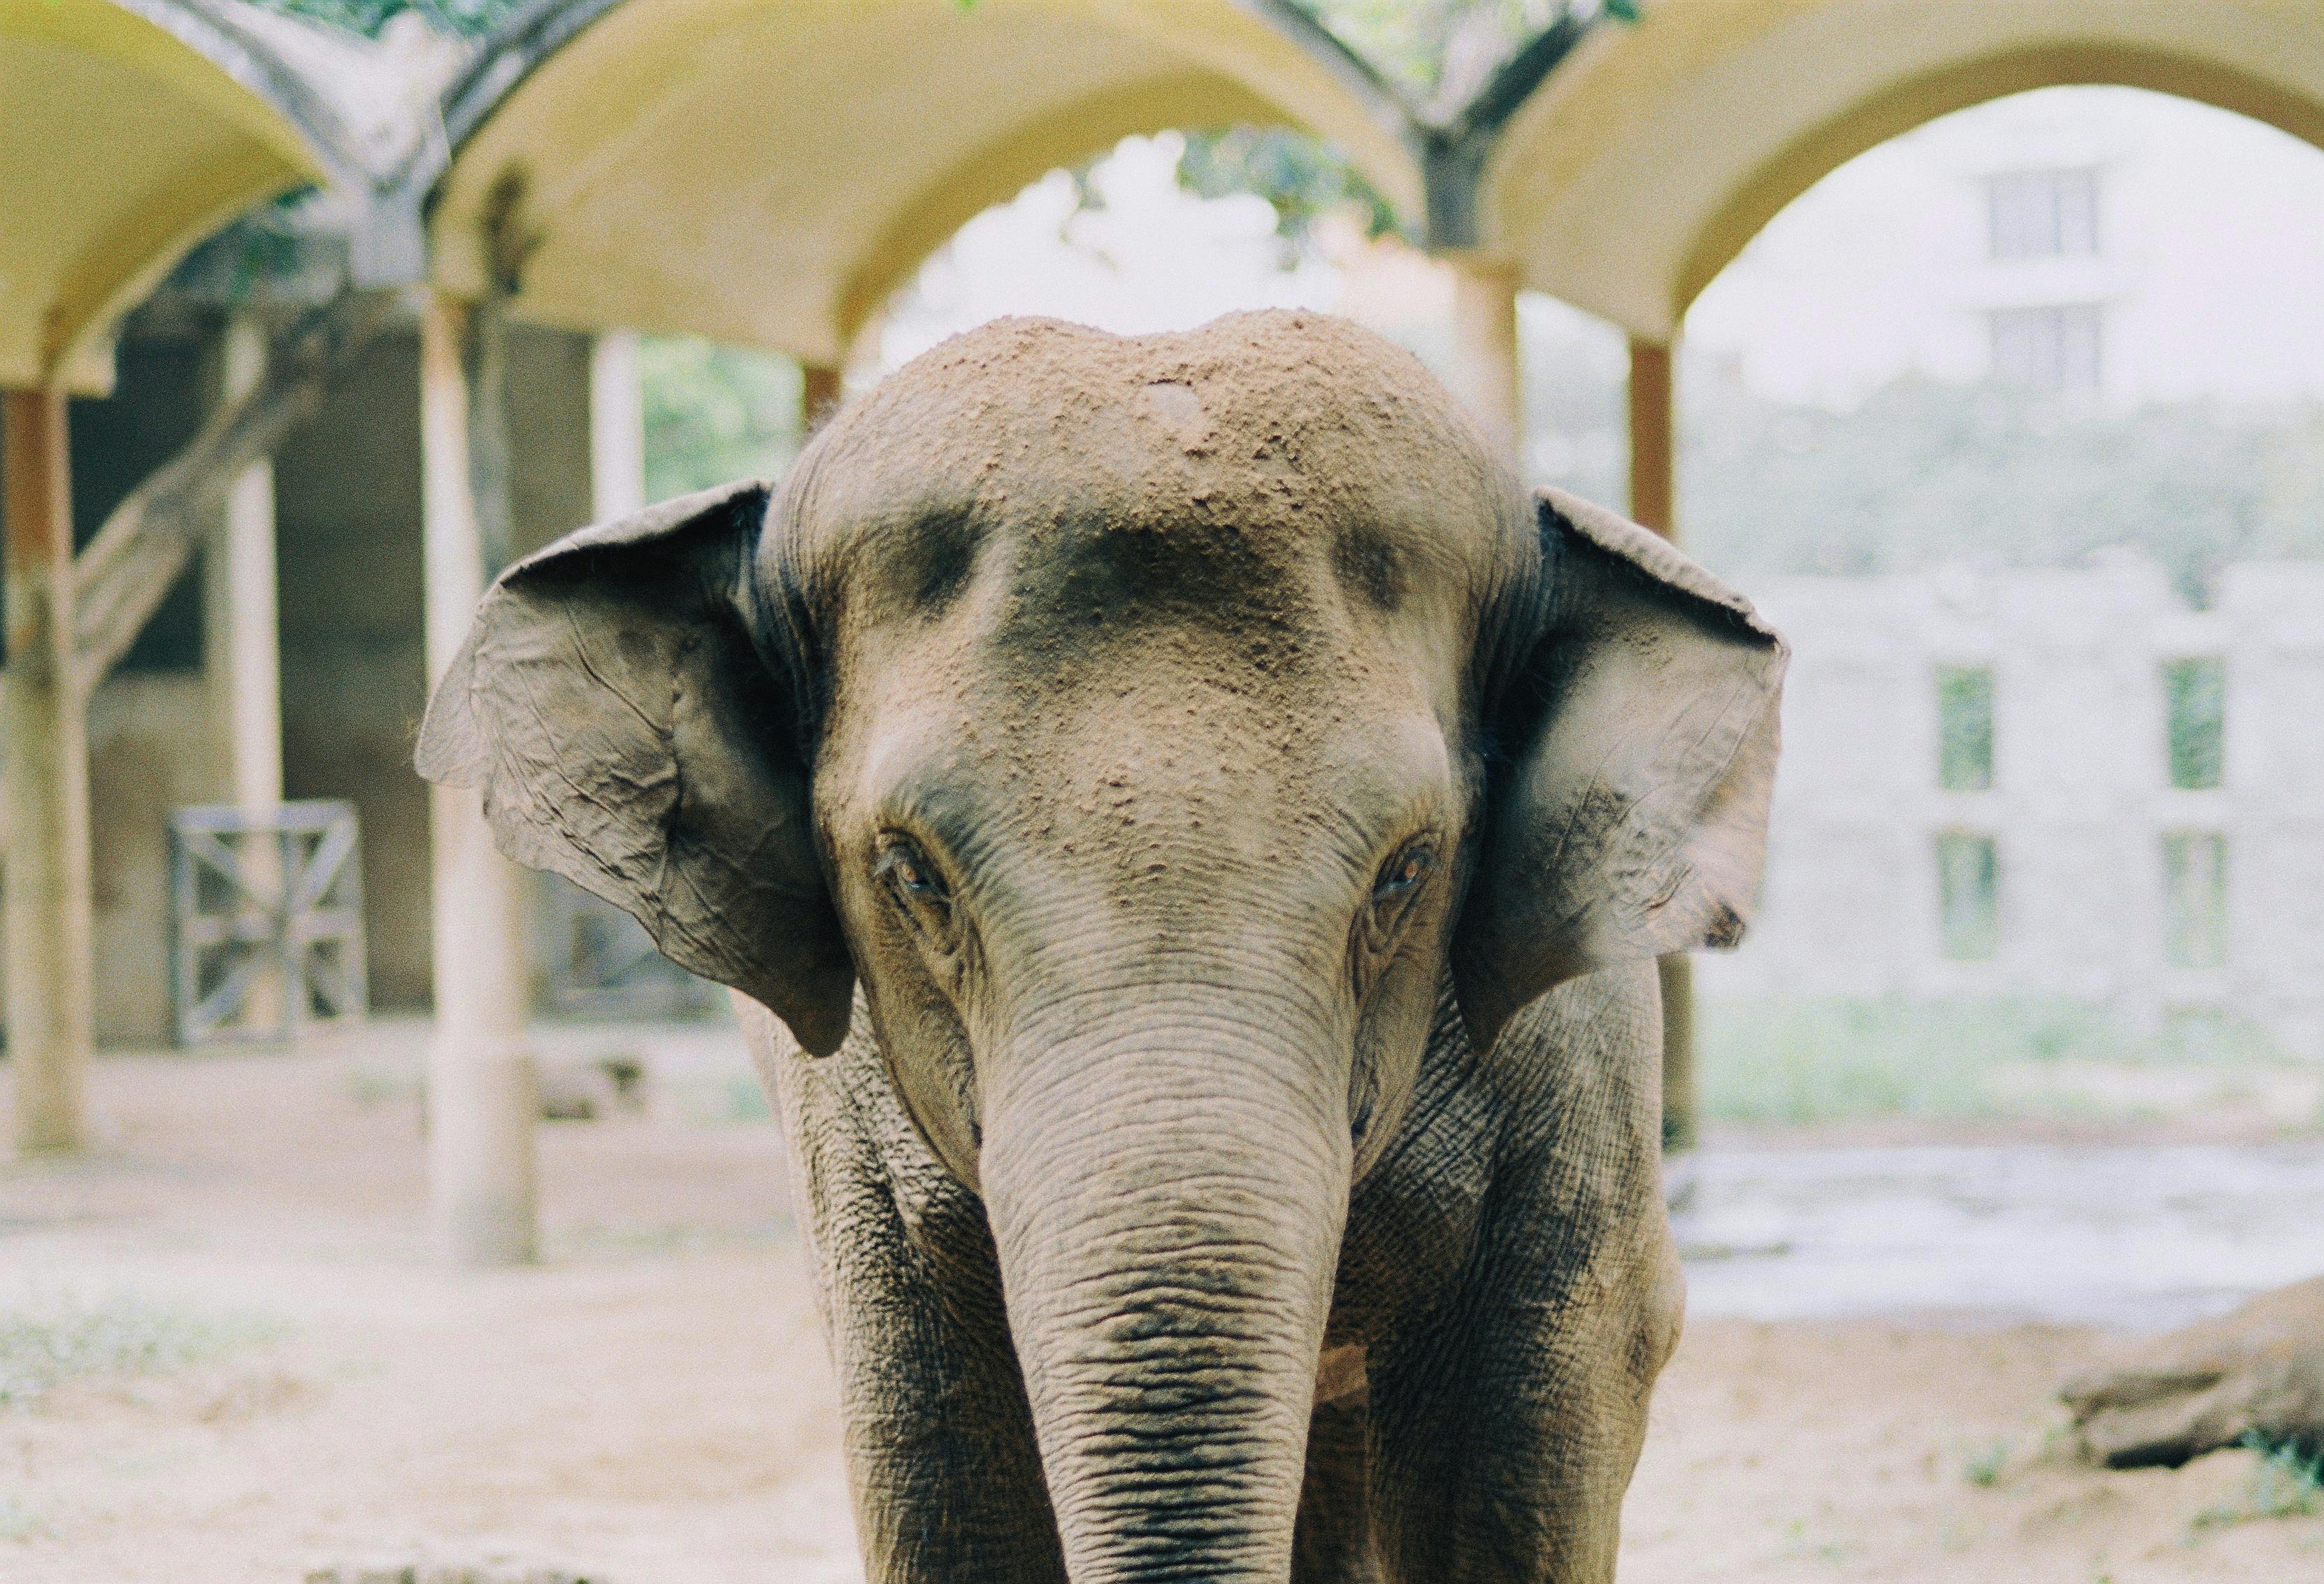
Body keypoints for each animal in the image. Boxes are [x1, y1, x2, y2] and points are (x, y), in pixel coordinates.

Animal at [417, 311, 1787, 1583]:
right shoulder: (848, 1137)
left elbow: (1516, 1459)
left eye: (1407, 869)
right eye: (911, 873)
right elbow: (942, 1480)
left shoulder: (1573, 1068)